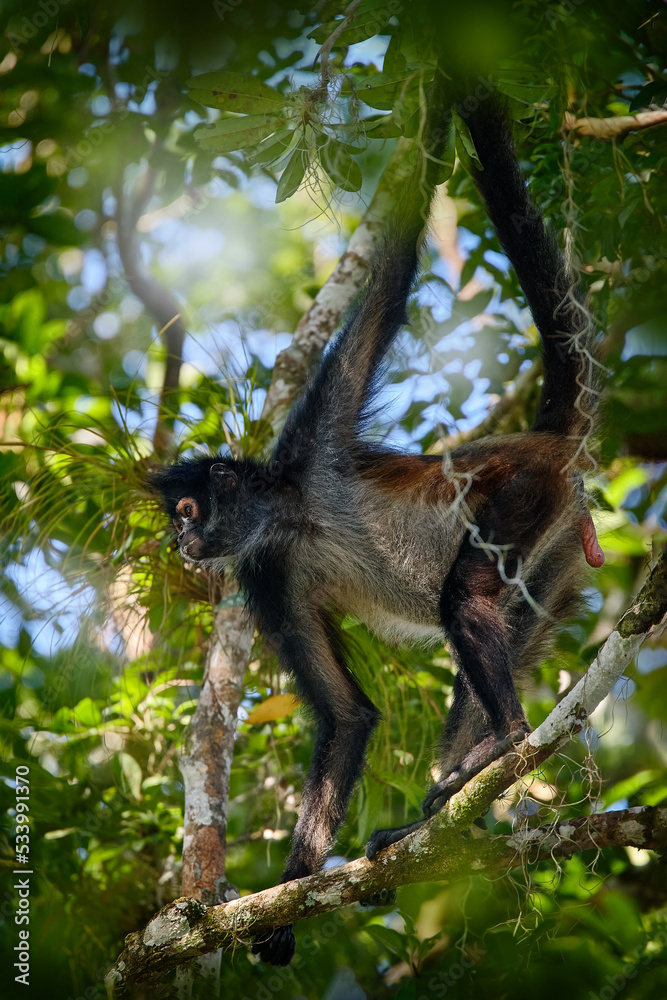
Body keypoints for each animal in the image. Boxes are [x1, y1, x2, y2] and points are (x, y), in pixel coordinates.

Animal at [148, 77, 604, 966]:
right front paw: (287, 898)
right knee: (494, 624)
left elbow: (389, 281)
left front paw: (432, 93)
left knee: (463, 600)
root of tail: (543, 442)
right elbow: (347, 716)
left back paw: (503, 742)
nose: (182, 540)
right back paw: (445, 816)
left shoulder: (313, 438)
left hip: (519, 487)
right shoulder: (264, 571)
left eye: (188, 510)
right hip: (555, 551)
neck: (294, 517)